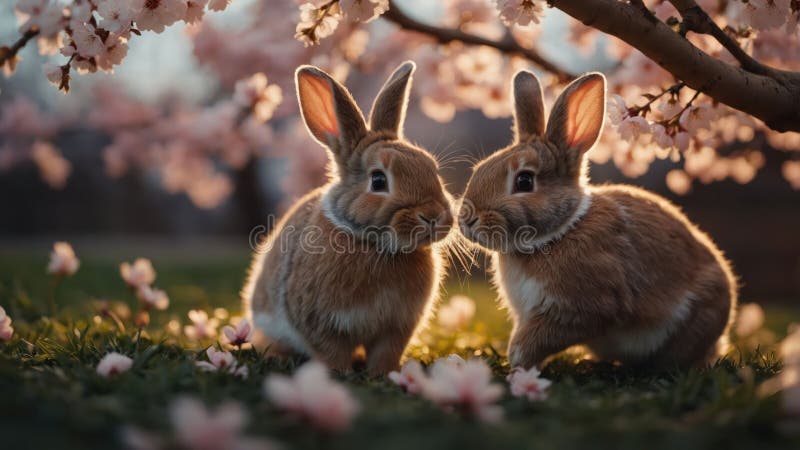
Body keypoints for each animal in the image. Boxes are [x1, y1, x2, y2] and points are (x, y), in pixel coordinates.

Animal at [242, 61, 454, 374]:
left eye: (432, 169)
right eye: (378, 181)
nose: (433, 216)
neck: (376, 245)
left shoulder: (396, 328)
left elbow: (384, 354)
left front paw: (383, 374)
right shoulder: (323, 325)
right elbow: (332, 353)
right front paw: (339, 375)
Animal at [458, 70, 737, 370]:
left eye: (524, 181)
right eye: (480, 168)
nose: (466, 220)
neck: (561, 231)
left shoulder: (580, 308)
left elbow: (535, 340)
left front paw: (518, 365)